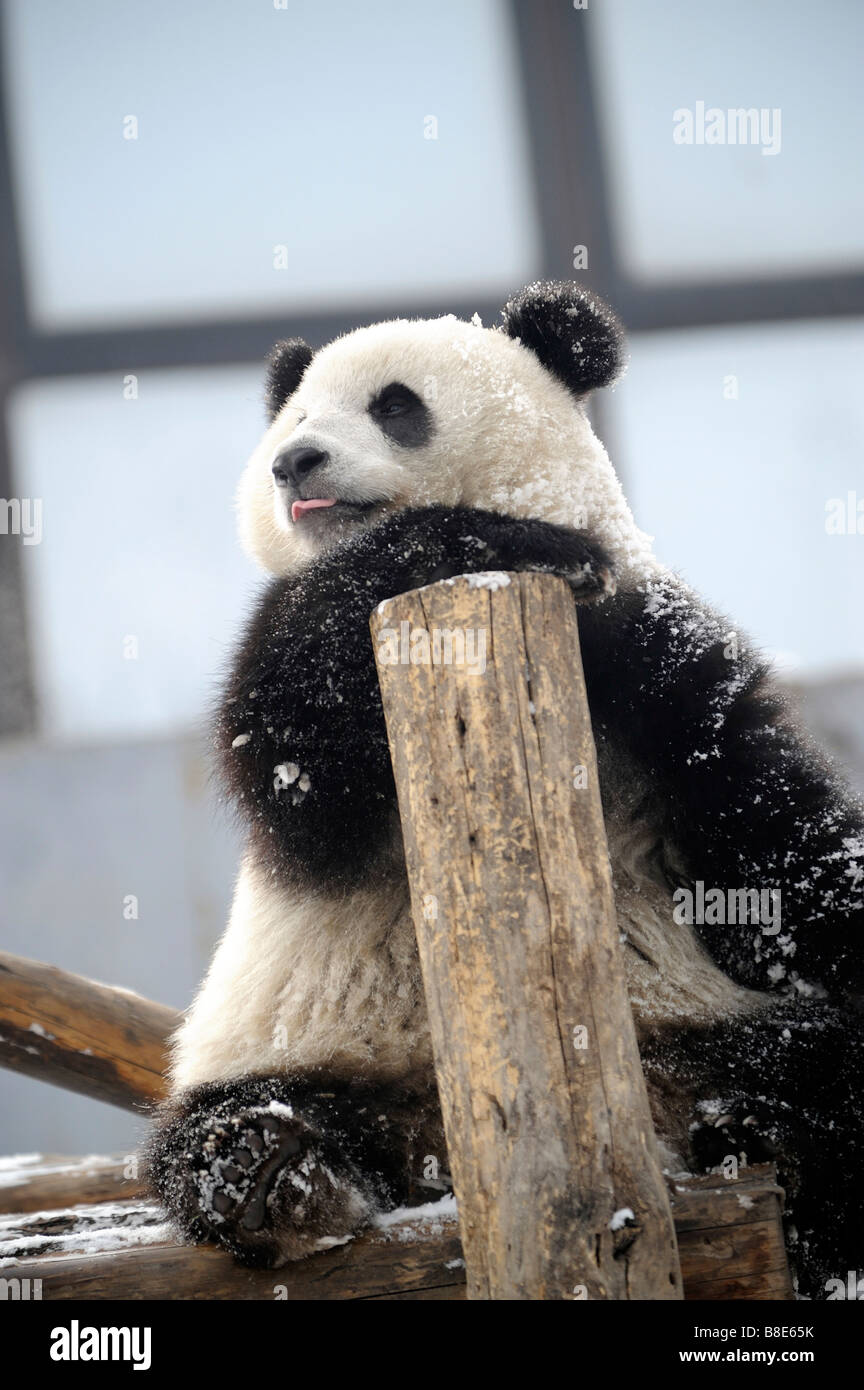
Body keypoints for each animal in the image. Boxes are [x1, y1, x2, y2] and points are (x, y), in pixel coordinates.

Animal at [147, 281, 864, 1298]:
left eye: (394, 405)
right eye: (291, 417)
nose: (292, 462)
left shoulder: (656, 658)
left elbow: (775, 835)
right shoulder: (310, 684)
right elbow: (291, 752)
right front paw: (499, 539)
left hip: (693, 1025)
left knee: (825, 1074)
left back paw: (765, 1137)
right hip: (309, 1045)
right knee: (219, 1125)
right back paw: (273, 1175)